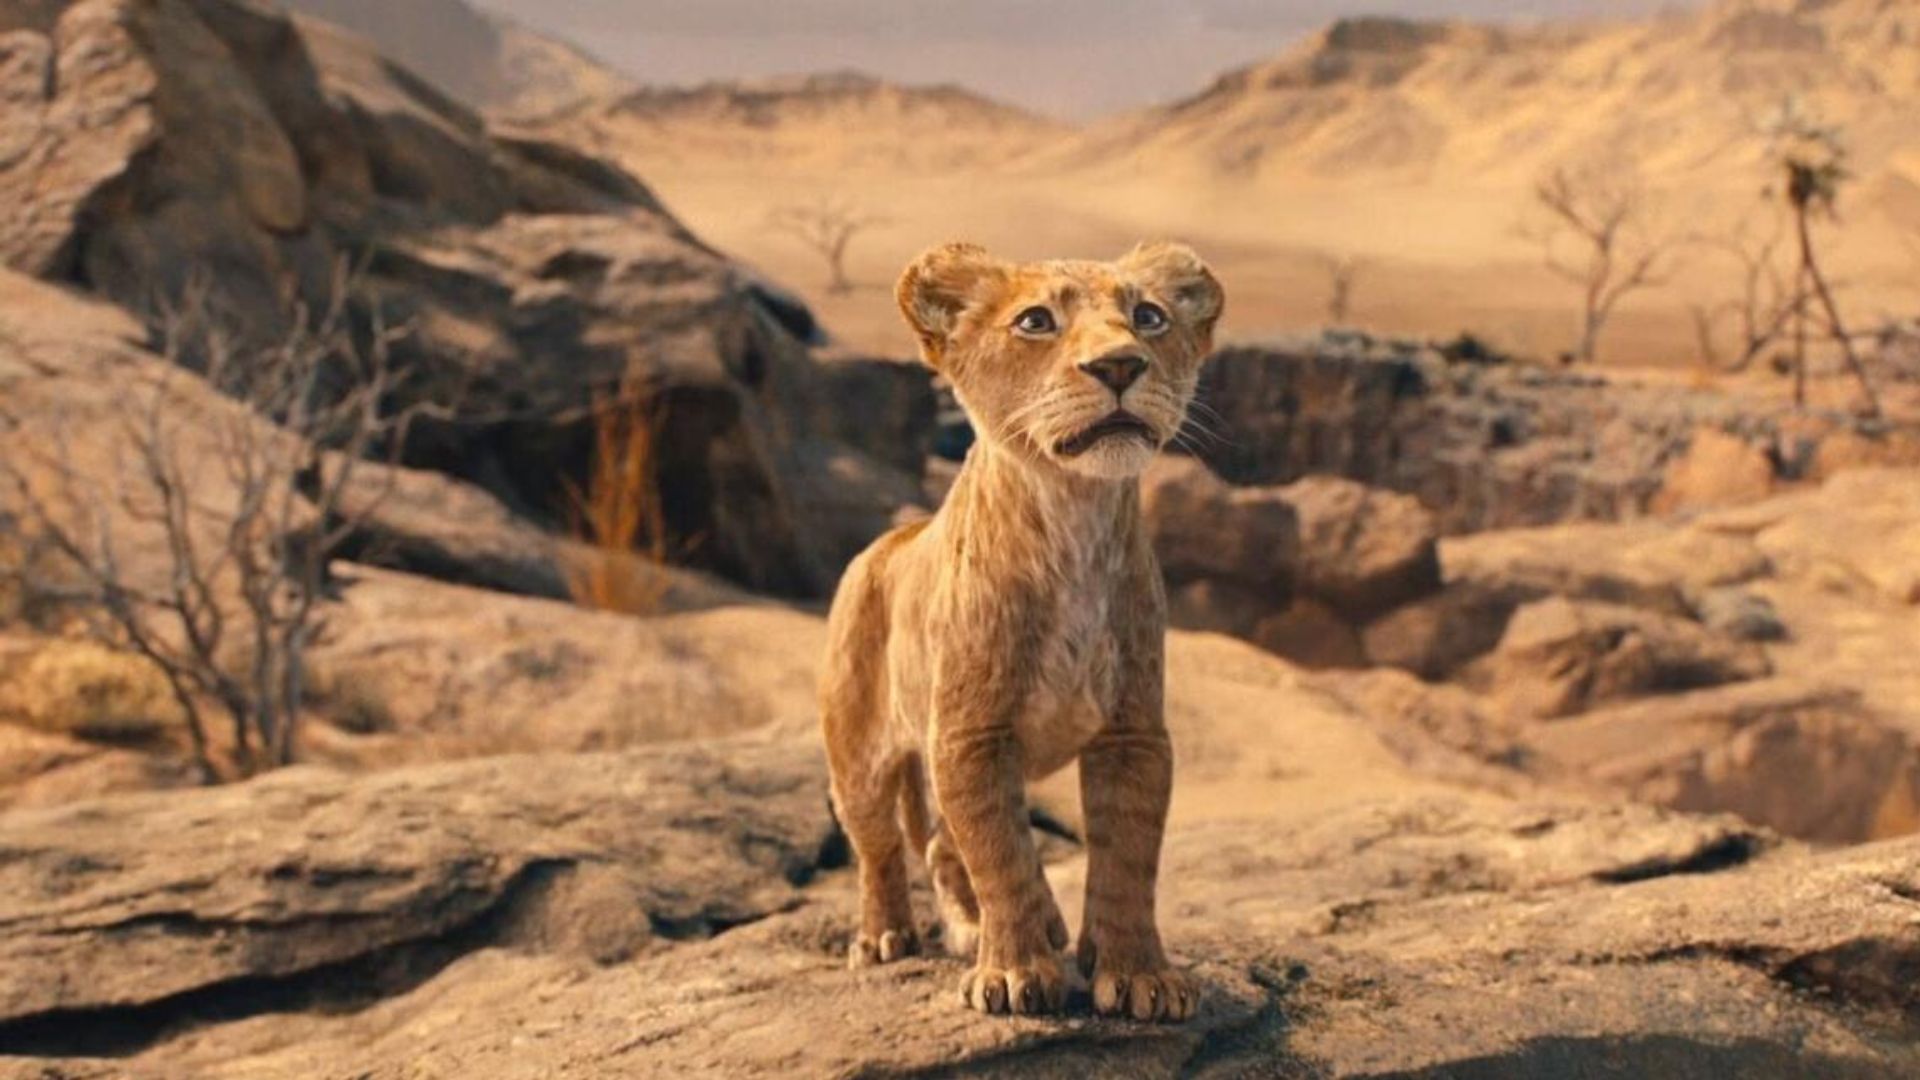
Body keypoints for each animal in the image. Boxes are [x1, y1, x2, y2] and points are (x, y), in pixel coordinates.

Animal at [818, 241, 1224, 1022]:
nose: (1119, 365)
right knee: (883, 848)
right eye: (1036, 321)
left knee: (944, 846)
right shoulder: (971, 735)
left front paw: (1139, 974)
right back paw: (885, 936)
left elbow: (1128, 856)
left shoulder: (1133, 733)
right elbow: (1001, 853)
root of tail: (888, 540)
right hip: (859, 756)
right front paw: (1011, 974)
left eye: (1148, 317)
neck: (1073, 518)